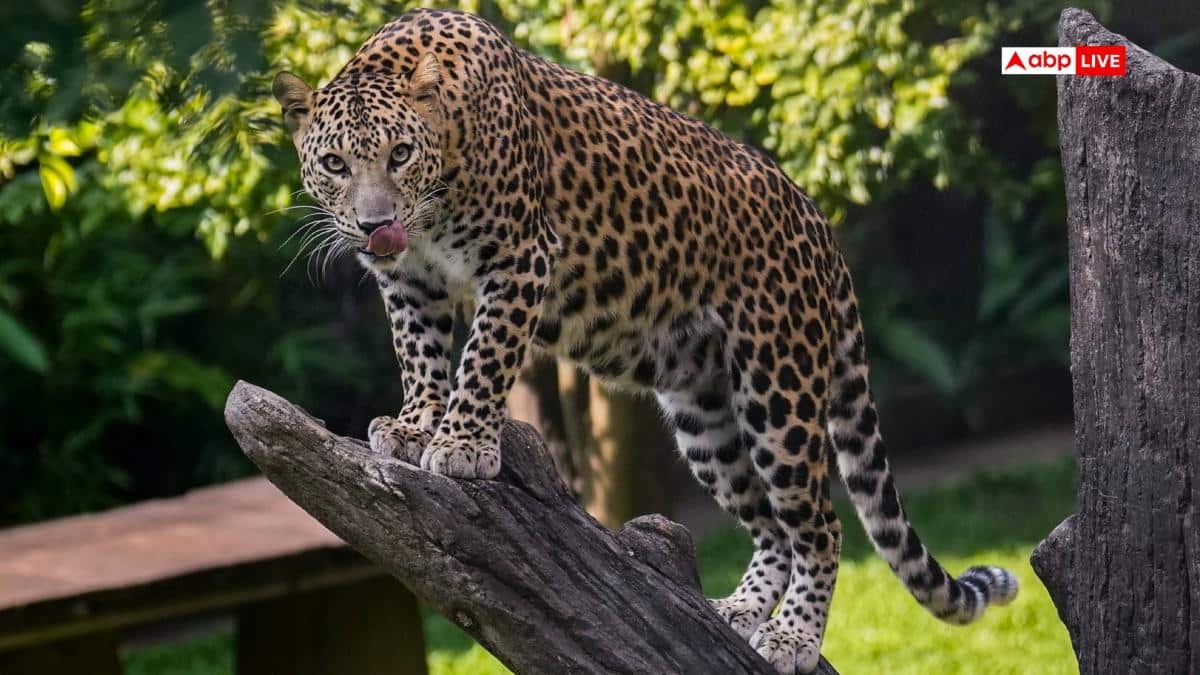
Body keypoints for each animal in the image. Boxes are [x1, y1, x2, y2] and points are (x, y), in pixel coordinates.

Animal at [272, 9, 1018, 673]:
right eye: (335, 163)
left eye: (399, 154)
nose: (375, 225)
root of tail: (818, 219)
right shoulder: (409, 284)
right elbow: (419, 357)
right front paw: (414, 425)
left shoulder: (520, 261)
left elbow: (483, 356)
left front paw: (461, 445)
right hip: (703, 414)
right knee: (770, 524)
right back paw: (737, 610)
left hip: (778, 385)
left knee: (818, 524)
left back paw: (793, 638)